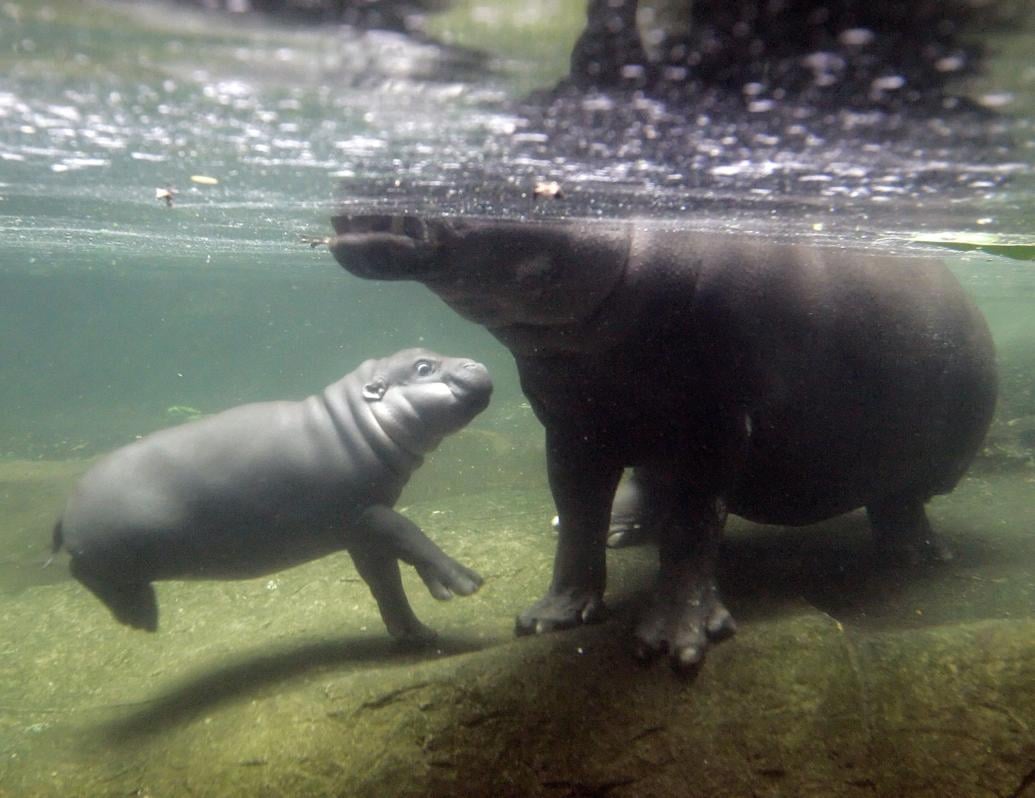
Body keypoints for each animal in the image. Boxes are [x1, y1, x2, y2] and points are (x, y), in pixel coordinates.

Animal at [53, 348, 492, 642]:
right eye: (423, 367)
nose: (478, 363)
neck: (356, 423)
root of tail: (63, 513)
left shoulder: (358, 533)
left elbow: (386, 581)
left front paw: (420, 632)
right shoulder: (363, 512)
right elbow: (409, 533)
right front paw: (467, 582)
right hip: (111, 552)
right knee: (82, 571)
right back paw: (142, 617)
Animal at [328, 217, 997, 668]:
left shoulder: (711, 420)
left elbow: (694, 523)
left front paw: (675, 643)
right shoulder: (572, 422)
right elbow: (576, 516)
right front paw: (548, 620)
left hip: (915, 458)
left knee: (898, 502)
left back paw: (919, 555)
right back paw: (624, 532)